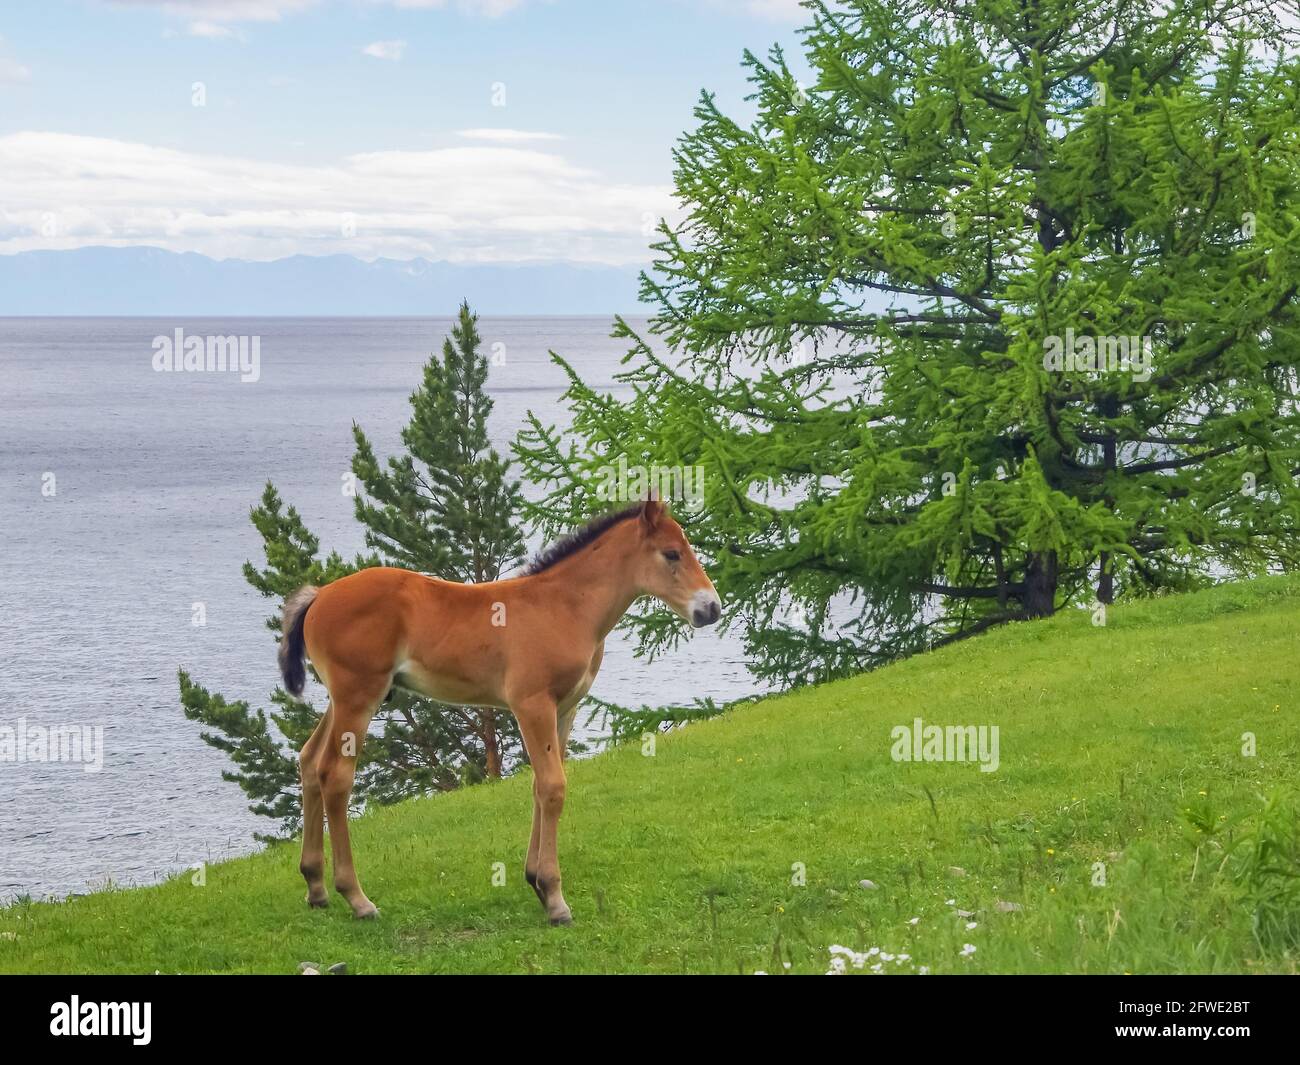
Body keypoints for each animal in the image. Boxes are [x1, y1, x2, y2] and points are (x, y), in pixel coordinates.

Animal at [277, 497, 722, 924]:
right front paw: (555, 899)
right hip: (359, 696)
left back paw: (315, 887)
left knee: (309, 761)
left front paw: (536, 882)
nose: (712, 608)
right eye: (672, 553)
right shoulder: (531, 704)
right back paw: (357, 898)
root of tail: (318, 597)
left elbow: (541, 785)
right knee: (335, 776)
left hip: (341, 699)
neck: (564, 606)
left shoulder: (565, 709)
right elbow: (553, 787)